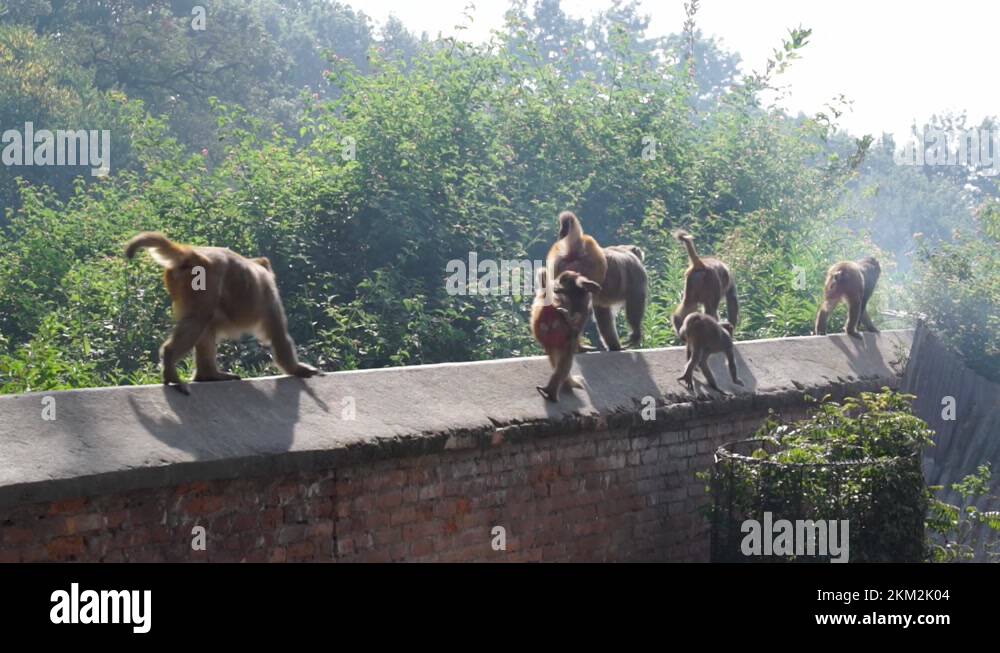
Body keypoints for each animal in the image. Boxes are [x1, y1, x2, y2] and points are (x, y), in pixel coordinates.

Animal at [125, 232, 319, 395]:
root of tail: (192, 254)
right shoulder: (270, 296)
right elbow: (278, 335)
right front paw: (296, 369)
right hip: (203, 281)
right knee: (199, 319)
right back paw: (171, 360)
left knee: (205, 323)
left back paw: (208, 375)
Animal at [531, 268, 602, 402]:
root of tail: (549, 308)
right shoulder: (582, 308)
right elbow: (576, 330)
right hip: (559, 329)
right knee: (568, 351)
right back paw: (555, 390)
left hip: (542, 330)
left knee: (555, 354)